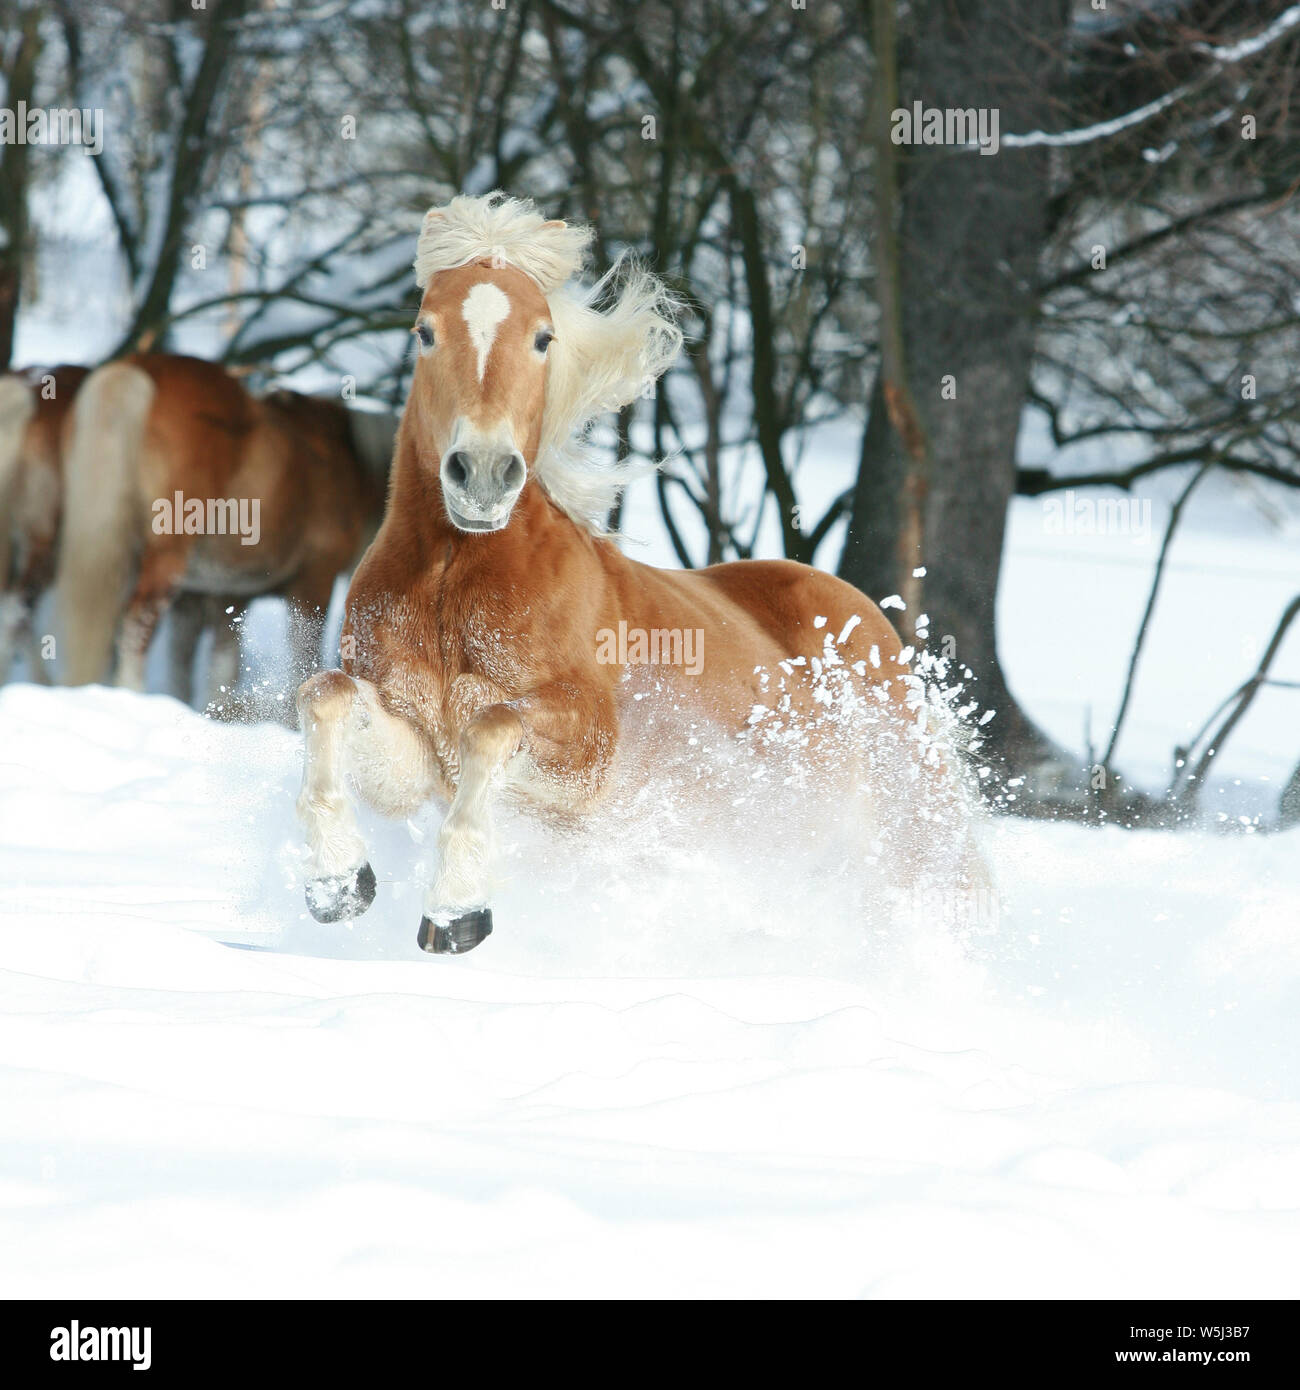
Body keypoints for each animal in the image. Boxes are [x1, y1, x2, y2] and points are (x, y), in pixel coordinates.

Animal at [54, 354, 397, 702]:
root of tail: (139, 369)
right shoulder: (315, 579)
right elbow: (302, 658)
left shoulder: (219, 595)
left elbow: (211, 669)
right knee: (135, 625)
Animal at [295, 192, 986, 955]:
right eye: (425, 331)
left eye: (542, 338)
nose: (482, 474)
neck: (454, 578)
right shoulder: (416, 752)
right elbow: (325, 695)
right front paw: (336, 882)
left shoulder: (587, 753)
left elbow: (491, 721)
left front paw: (457, 910)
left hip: (906, 829)